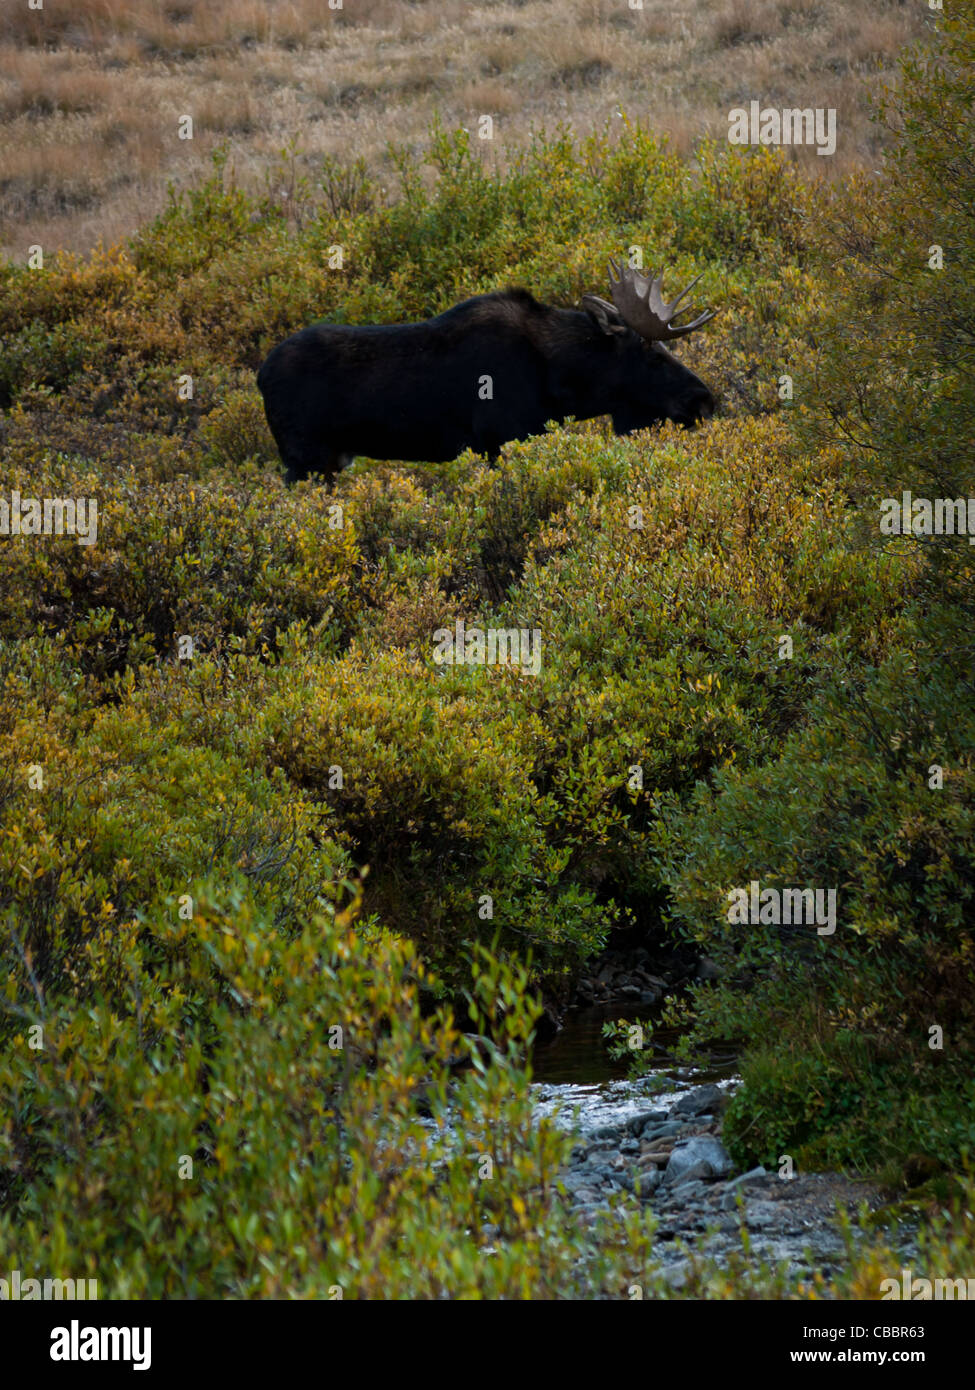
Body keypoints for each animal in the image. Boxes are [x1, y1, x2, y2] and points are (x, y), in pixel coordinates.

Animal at [257, 260, 717, 485]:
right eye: (653, 355)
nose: (704, 400)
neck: (560, 384)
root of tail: (260, 376)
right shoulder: (500, 440)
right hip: (305, 460)